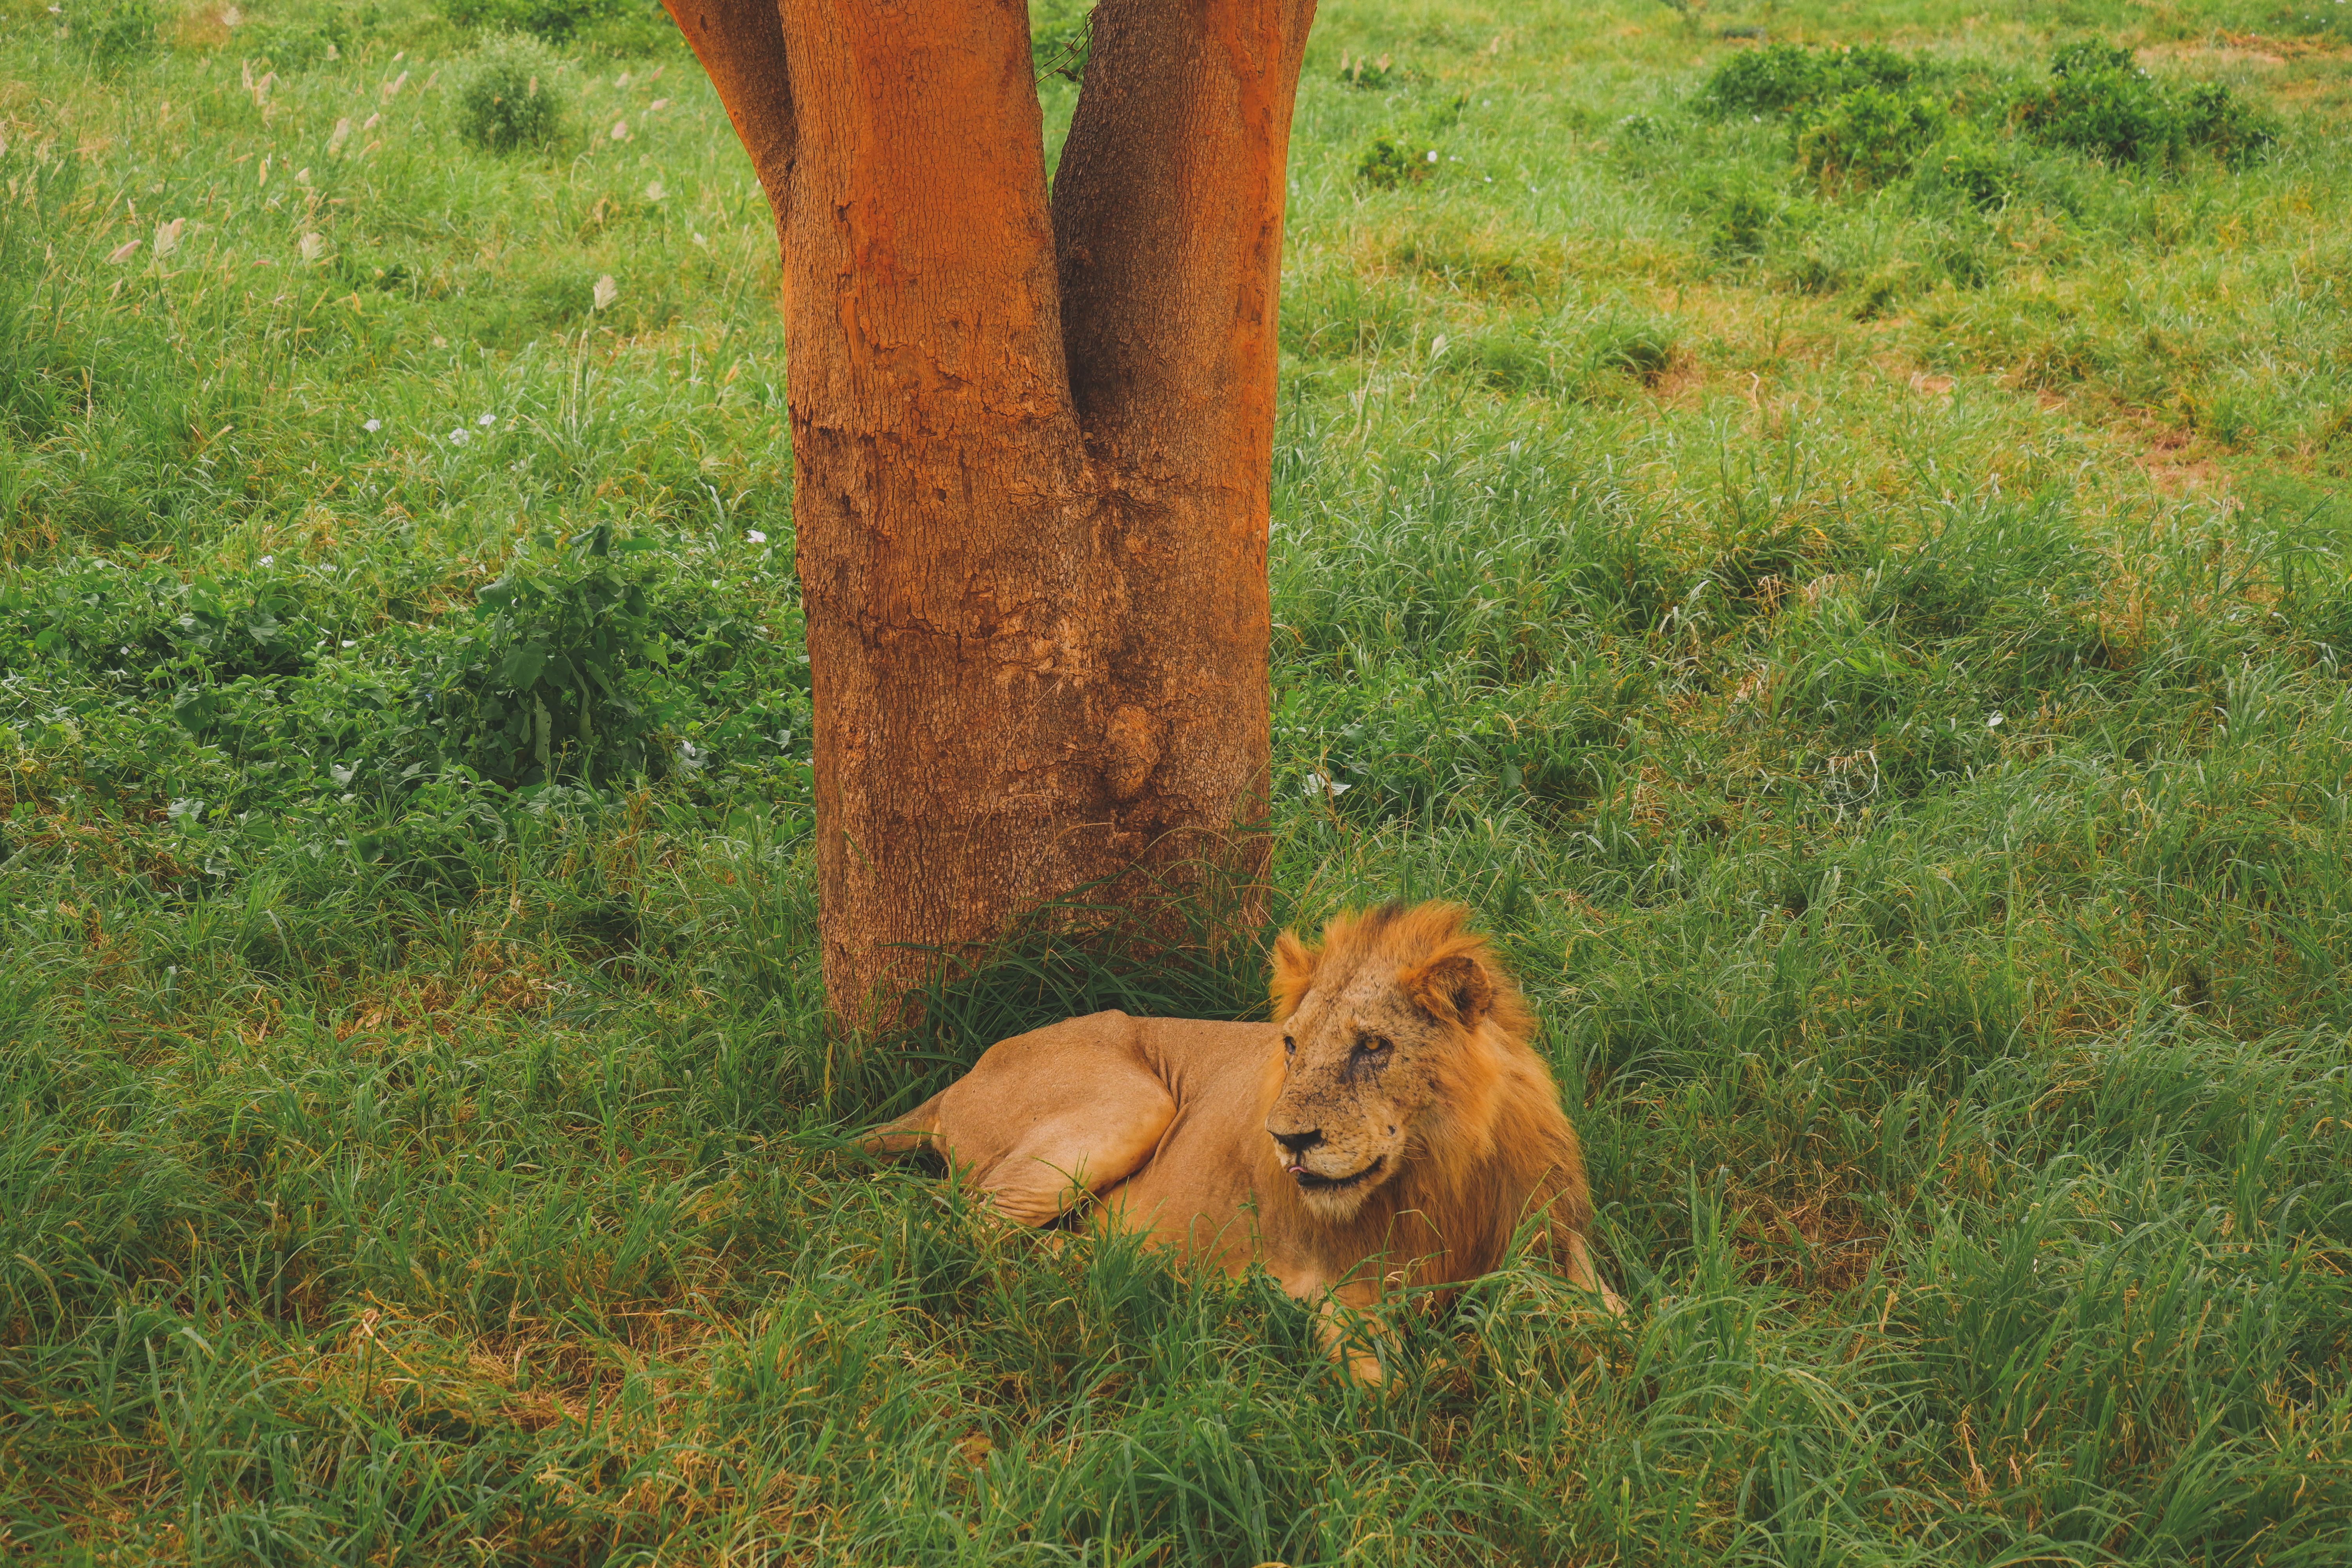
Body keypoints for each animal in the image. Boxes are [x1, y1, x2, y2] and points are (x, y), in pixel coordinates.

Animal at [867, 901, 1621, 1379]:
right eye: (1290, 1045)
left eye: (1374, 1047)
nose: (1288, 1140)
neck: (1437, 1173)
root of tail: (962, 1074)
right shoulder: (1325, 1279)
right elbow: (1381, 1381)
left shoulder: (1554, 1235)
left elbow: (1615, 1326)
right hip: (1134, 1104)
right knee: (954, 1227)